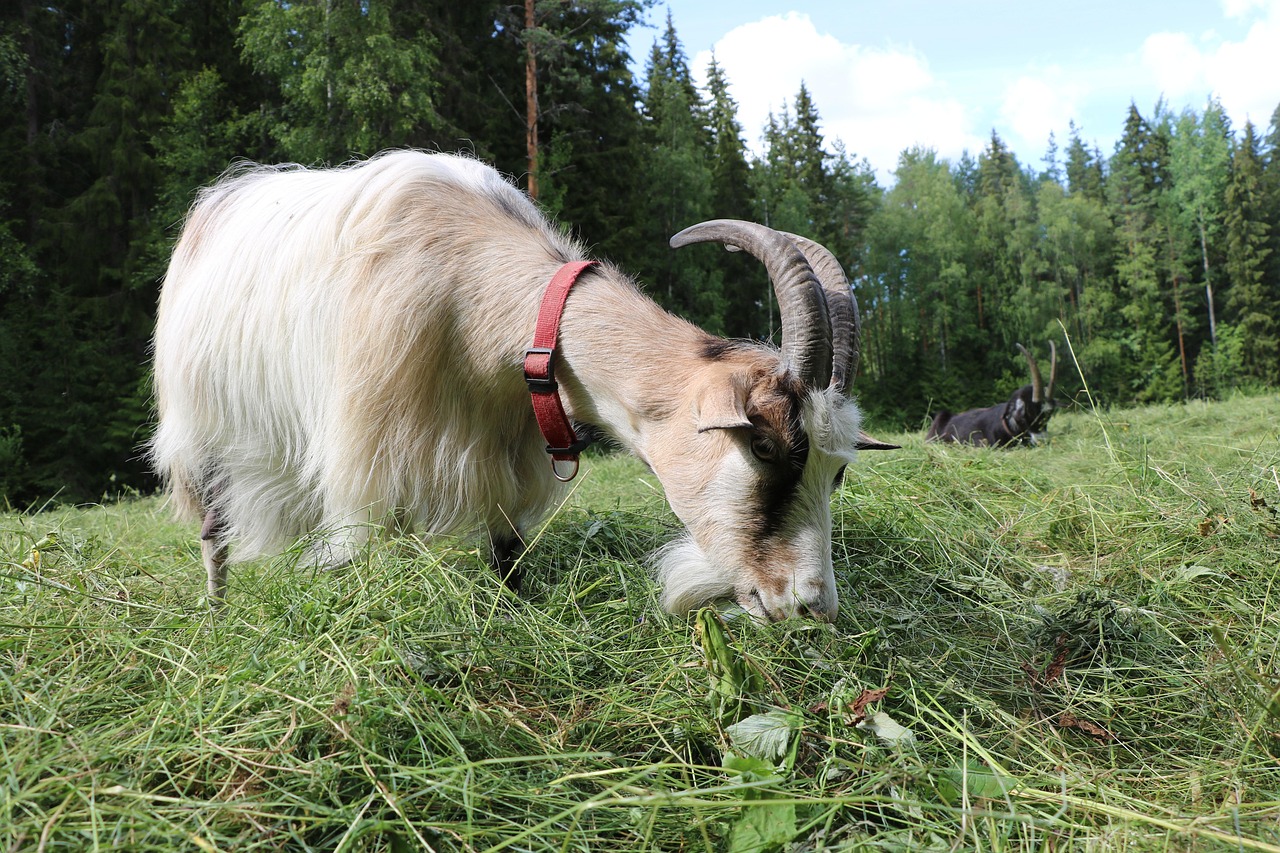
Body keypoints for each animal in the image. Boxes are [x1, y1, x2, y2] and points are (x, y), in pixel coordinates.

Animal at [150, 150, 894, 622]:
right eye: (763, 446)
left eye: (836, 472)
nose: (811, 607)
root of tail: (218, 204)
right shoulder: (374, 448)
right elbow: (366, 546)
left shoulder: (509, 443)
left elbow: (507, 547)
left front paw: (517, 611)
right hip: (204, 428)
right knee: (214, 531)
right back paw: (215, 614)